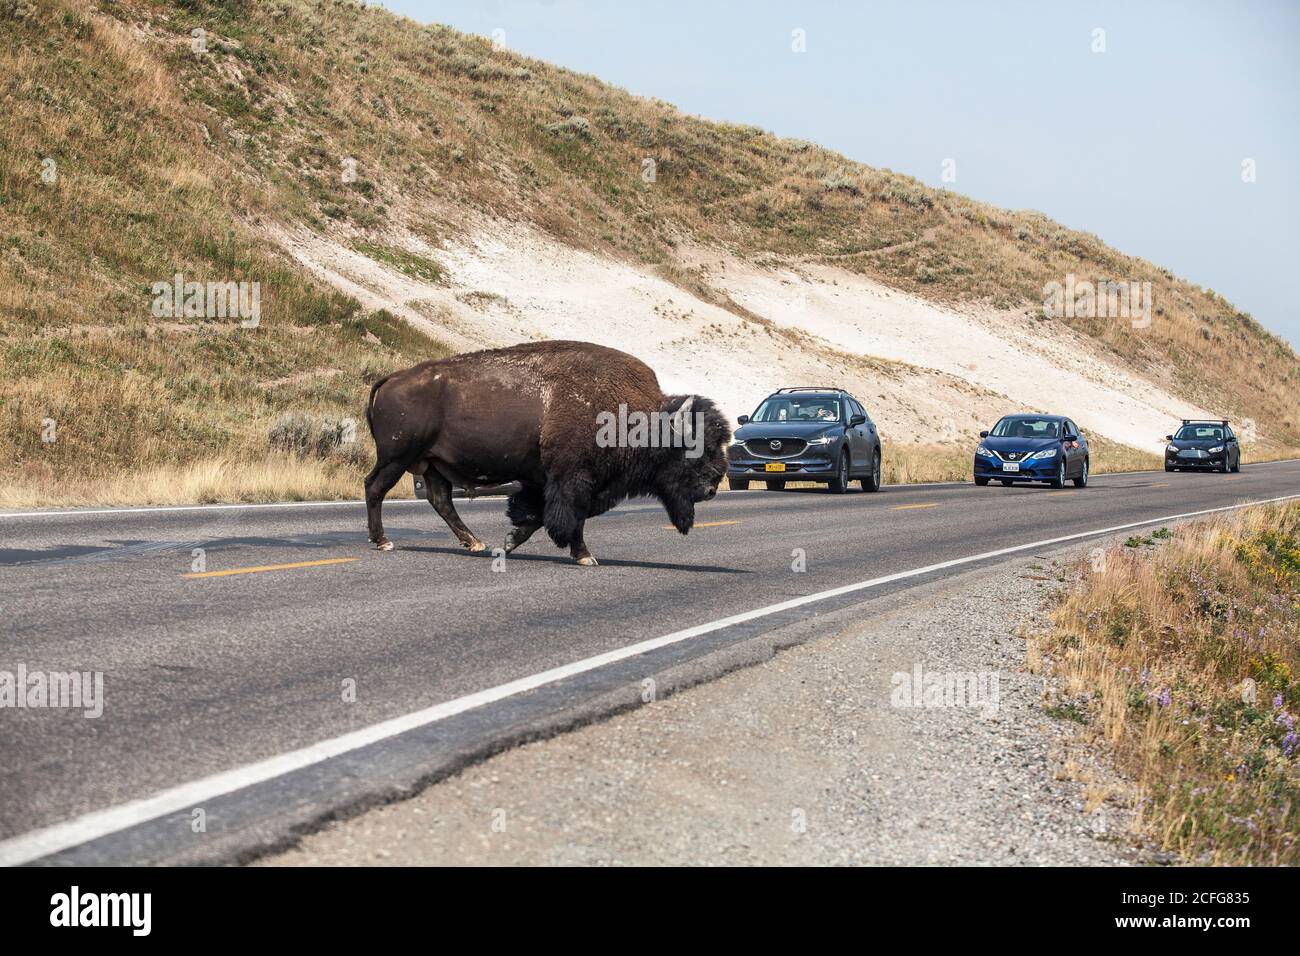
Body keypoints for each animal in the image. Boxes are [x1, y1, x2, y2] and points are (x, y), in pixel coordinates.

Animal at [363, 340, 731, 565]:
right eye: (694, 448)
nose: (713, 487)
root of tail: (392, 378)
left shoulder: (548, 481)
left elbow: (538, 514)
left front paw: (508, 542)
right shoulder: (573, 480)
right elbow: (570, 517)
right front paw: (584, 556)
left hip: (432, 464)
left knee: (440, 500)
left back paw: (475, 543)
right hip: (396, 458)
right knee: (375, 488)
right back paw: (382, 541)